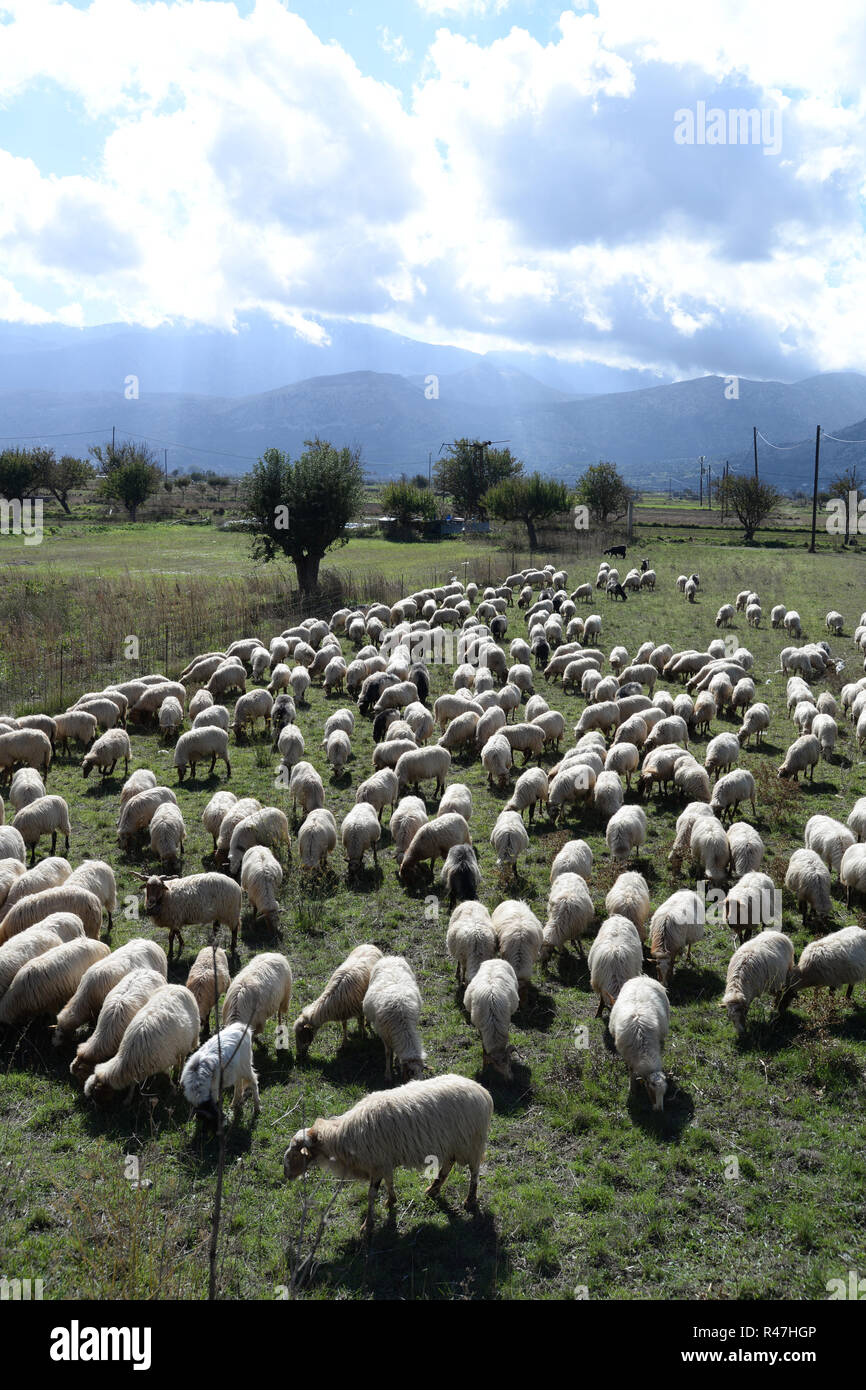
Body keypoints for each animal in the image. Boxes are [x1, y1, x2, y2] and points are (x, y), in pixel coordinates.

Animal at [282, 1072, 493, 1234]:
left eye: (296, 1155)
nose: (286, 1175)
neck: (341, 1137)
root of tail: (483, 1091)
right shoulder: (385, 1161)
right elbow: (389, 1182)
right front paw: (391, 1201)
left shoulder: (377, 1163)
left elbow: (371, 1194)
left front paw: (368, 1225)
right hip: (453, 1144)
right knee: (448, 1163)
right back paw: (433, 1189)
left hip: (472, 1143)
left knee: (474, 1171)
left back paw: (469, 1199)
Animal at [363, 954, 425, 1082]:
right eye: (411, 1072)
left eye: (422, 1070)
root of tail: (390, 957)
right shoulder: (385, 1034)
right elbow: (388, 1053)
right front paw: (388, 1074)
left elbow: (396, 1051)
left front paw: (397, 1062)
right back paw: (367, 1024)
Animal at [608, 976, 670, 1111]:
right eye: (651, 1090)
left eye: (664, 1093)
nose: (659, 1110)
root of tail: (642, 977)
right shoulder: (628, 1056)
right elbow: (631, 1071)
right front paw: (632, 1088)